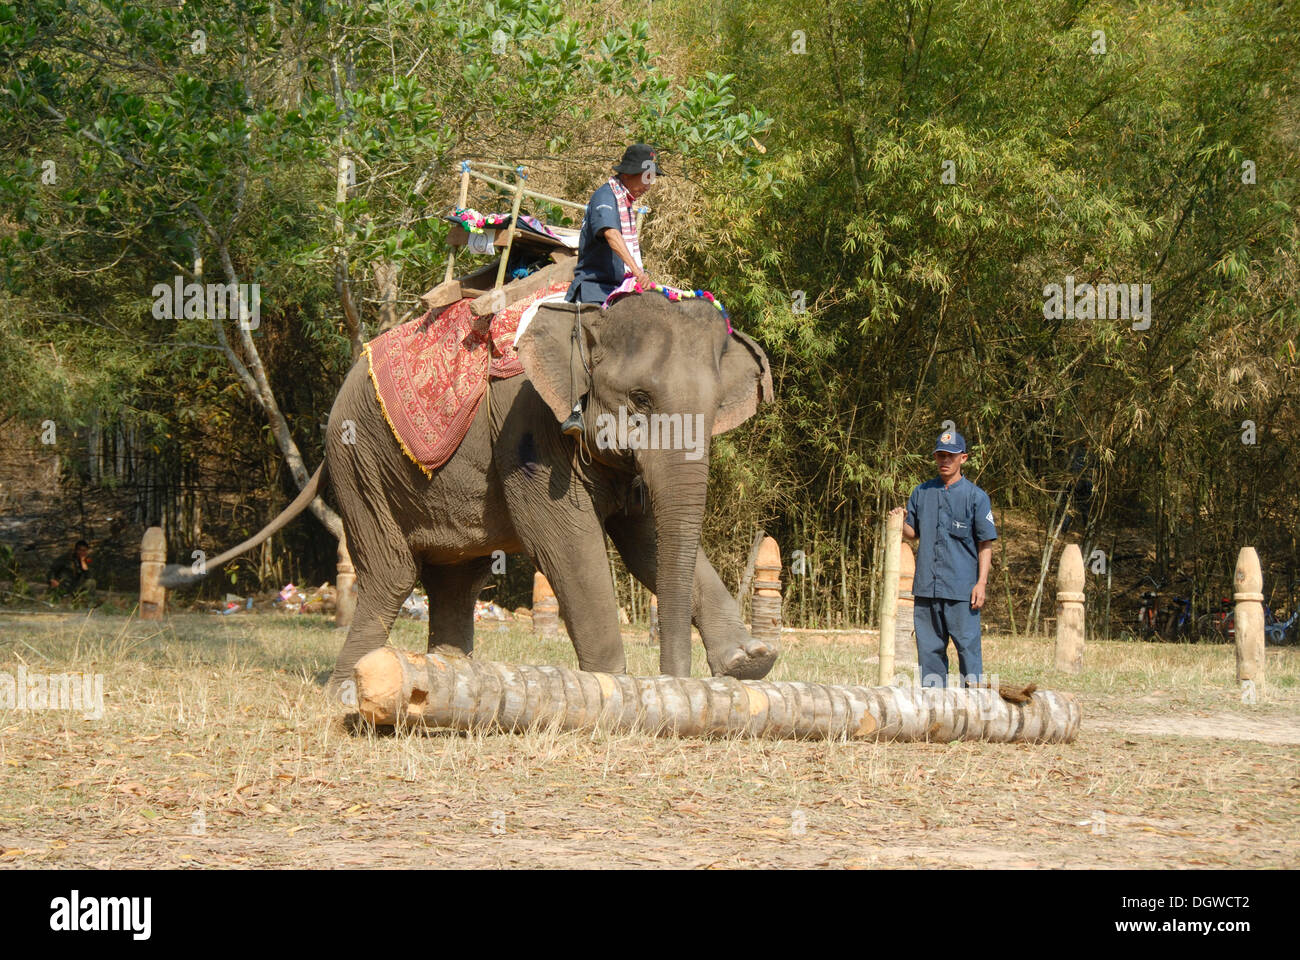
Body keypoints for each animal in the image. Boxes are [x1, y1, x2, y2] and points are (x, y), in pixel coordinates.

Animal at [161, 291, 778, 697]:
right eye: (641, 399)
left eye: (717, 405)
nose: (677, 679)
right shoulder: (528, 423)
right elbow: (565, 540)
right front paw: (610, 685)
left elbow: (645, 541)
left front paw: (750, 663)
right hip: (358, 461)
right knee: (391, 573)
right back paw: (349, 689)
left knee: (456, 576)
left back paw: (450, 675)